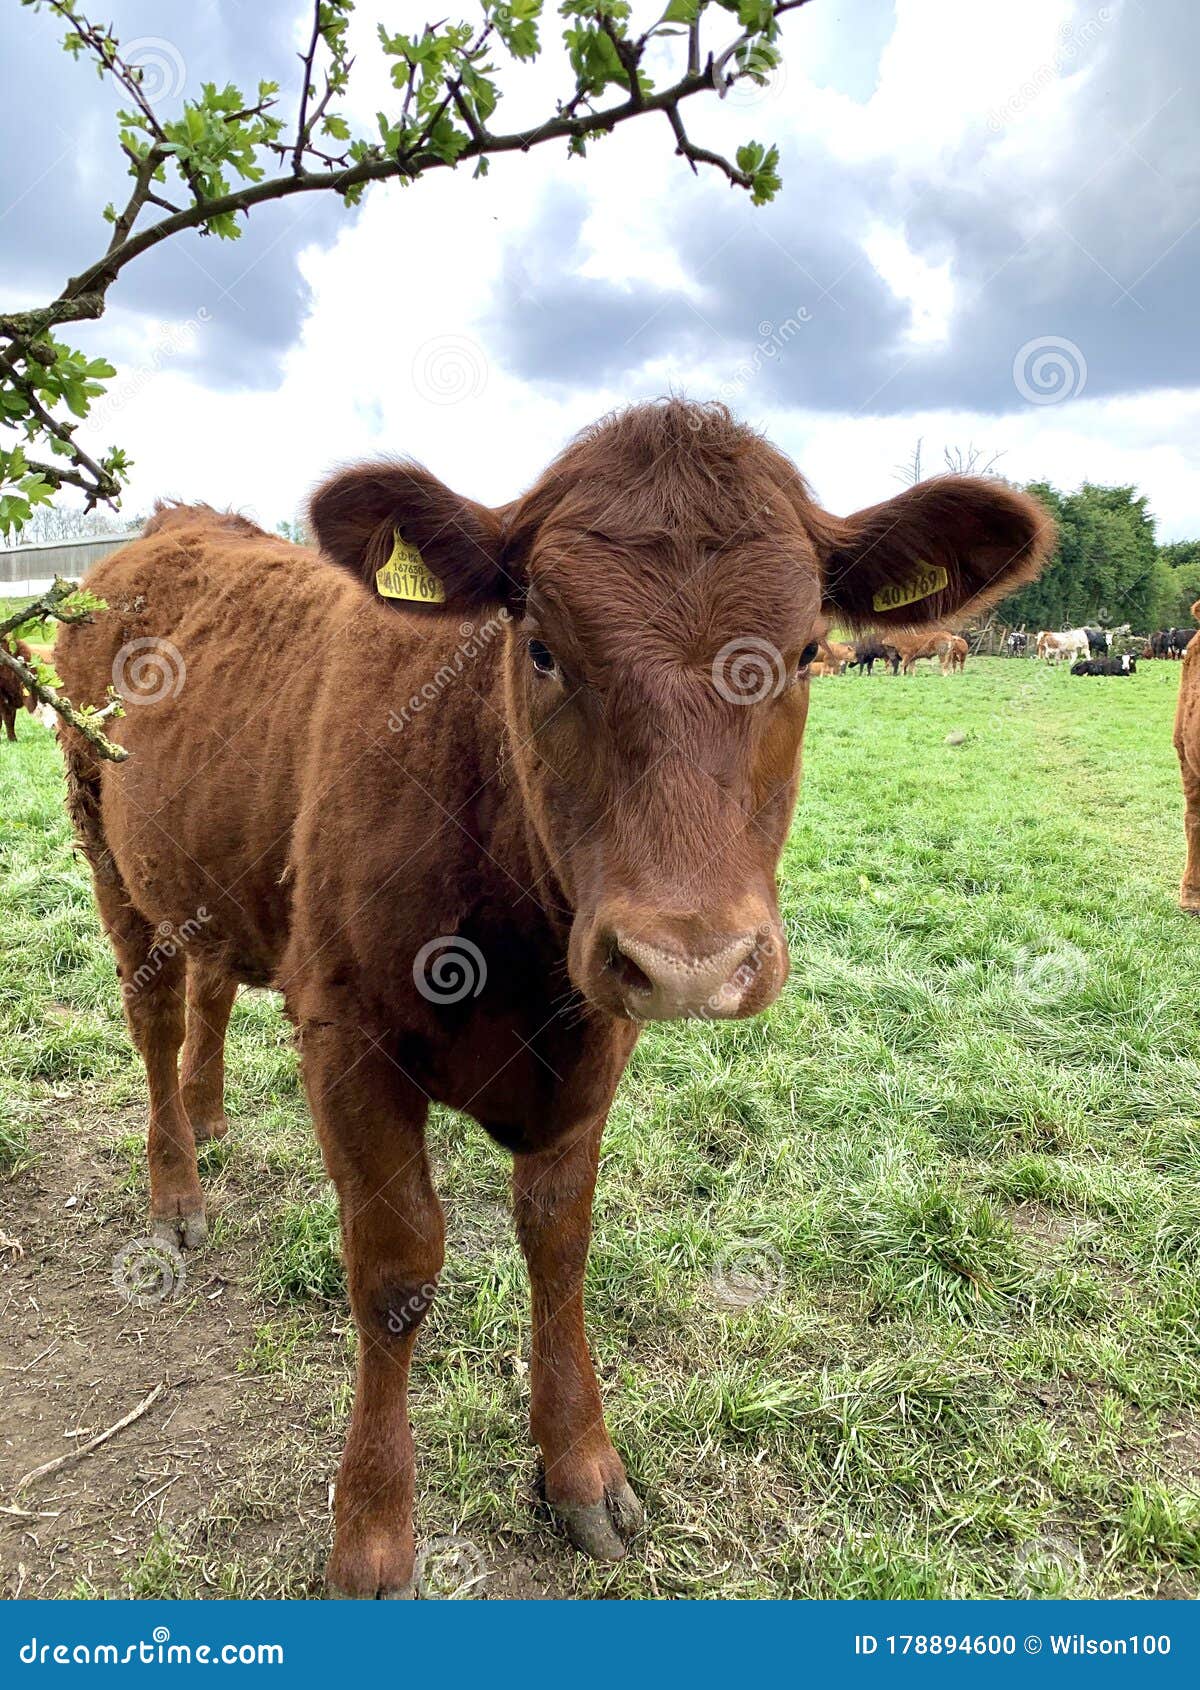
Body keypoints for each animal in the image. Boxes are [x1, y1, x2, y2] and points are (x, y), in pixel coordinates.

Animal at [54, 400, 1051, 1598]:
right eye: (540, 647)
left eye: (807, 650)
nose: (691, 960)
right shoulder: (346, 1033)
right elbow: (394, 1271)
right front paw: (373, 1531)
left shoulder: (594, 1039)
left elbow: (560, 1243)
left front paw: (581, 1468)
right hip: (107, 845)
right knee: (155, 1017)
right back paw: (176, 1186)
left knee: (208, 985)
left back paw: (207, 1120)